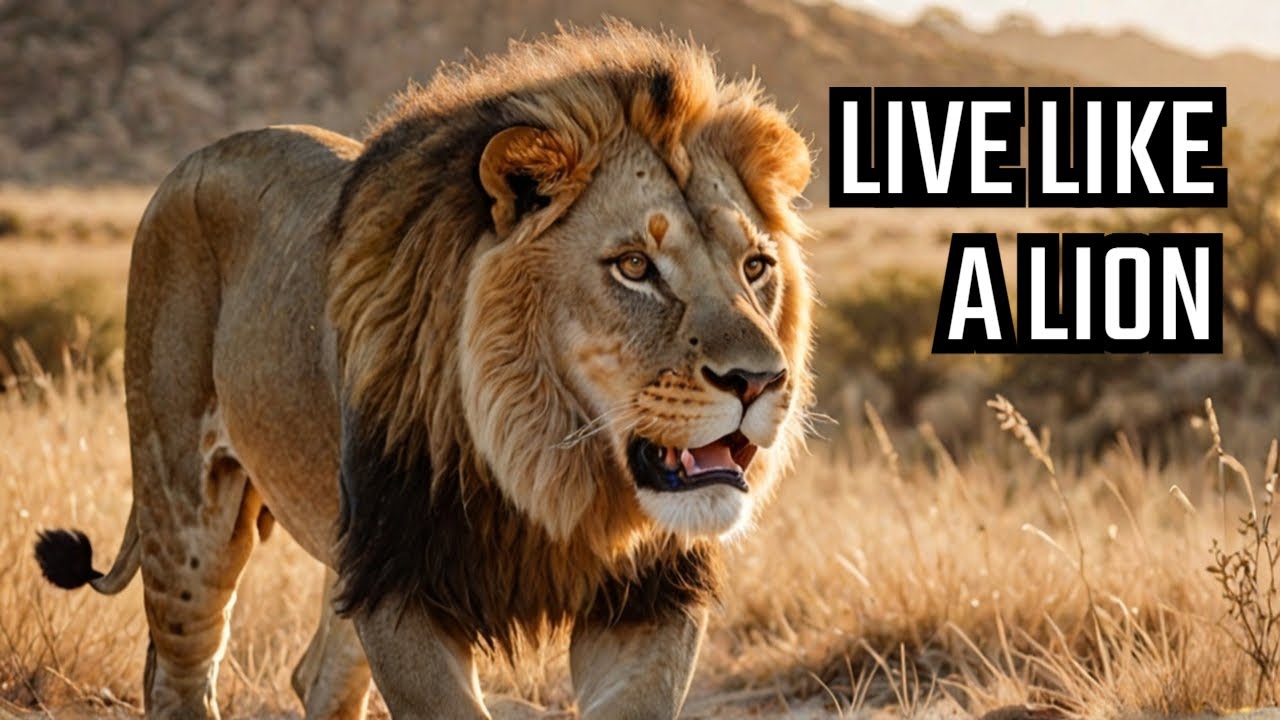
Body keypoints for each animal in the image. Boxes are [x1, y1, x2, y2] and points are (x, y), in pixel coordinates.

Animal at [33, 22, 813, 719]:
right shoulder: (398, 580)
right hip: (186, 508)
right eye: (634, 266)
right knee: (179, 675)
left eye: (755, 267)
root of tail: (195, 157)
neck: (552, 471)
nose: (759, 382)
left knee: (317, 675)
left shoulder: (649, 598)